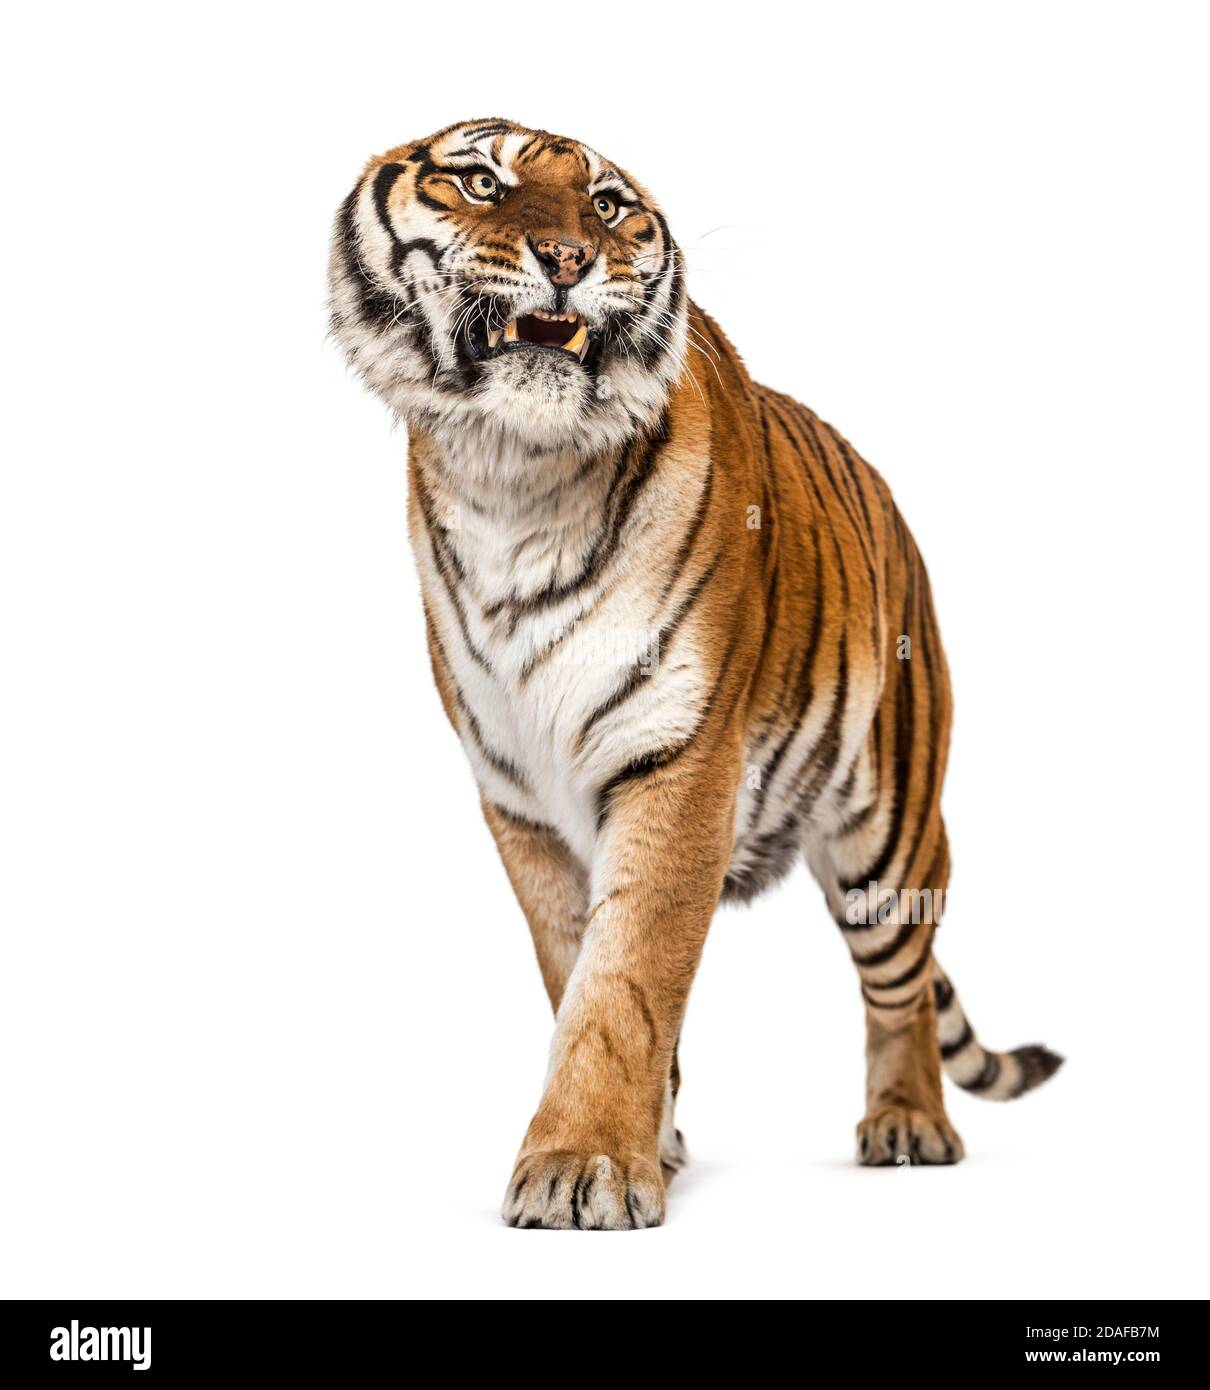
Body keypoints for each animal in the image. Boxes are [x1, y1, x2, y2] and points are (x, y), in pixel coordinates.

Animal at [328, 118, 1062, 1230]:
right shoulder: (520, 797)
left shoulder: (680, 760)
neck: (514, 481)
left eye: (607, 205)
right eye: (480, 180)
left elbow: (625, 979)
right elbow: (574, 968)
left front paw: (581, 1164)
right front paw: (647, 1140)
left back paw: (908, 1126)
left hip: (892, 832)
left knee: (899, 990)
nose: (569, 258)